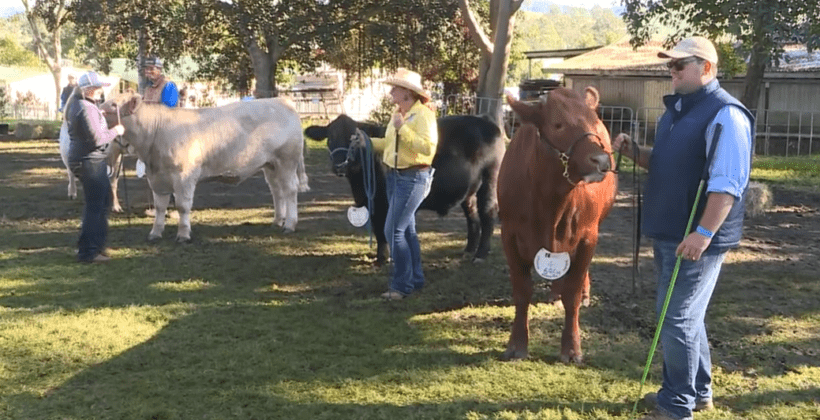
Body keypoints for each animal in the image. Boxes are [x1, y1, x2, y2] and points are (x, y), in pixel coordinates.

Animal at [99, 92, 309, 242]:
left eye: (114, 105)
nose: (97, 111)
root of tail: (283, 100)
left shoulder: (184, 176)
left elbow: (183, 206)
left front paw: (183, 234)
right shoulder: (157, 178)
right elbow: (159, 207)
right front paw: (155, 233)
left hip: (287, 161)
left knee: (290, 190)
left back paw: (289, 225)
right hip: (270, 164)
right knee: (277, 191)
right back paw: (277, 221)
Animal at [305, 113, 505, 265]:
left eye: (353, 140)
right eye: (329, 138)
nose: (339, 166)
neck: (359, 184)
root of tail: (486, 121)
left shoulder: (384, 202)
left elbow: (383, 230)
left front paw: (384, 258)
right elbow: (379, 229)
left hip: (490, 179)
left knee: (488, 213)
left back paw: (480, 255)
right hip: (468, 191)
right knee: (472, 217)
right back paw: (468, 250)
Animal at [498, 87, 617, 364]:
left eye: (593, 122)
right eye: (558, 125)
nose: (601, 160)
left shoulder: (588, 237)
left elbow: (572, 296)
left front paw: (571, 348)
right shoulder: (509, 235)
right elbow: (522, 292)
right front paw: (516, 345)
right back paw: (554, 292)